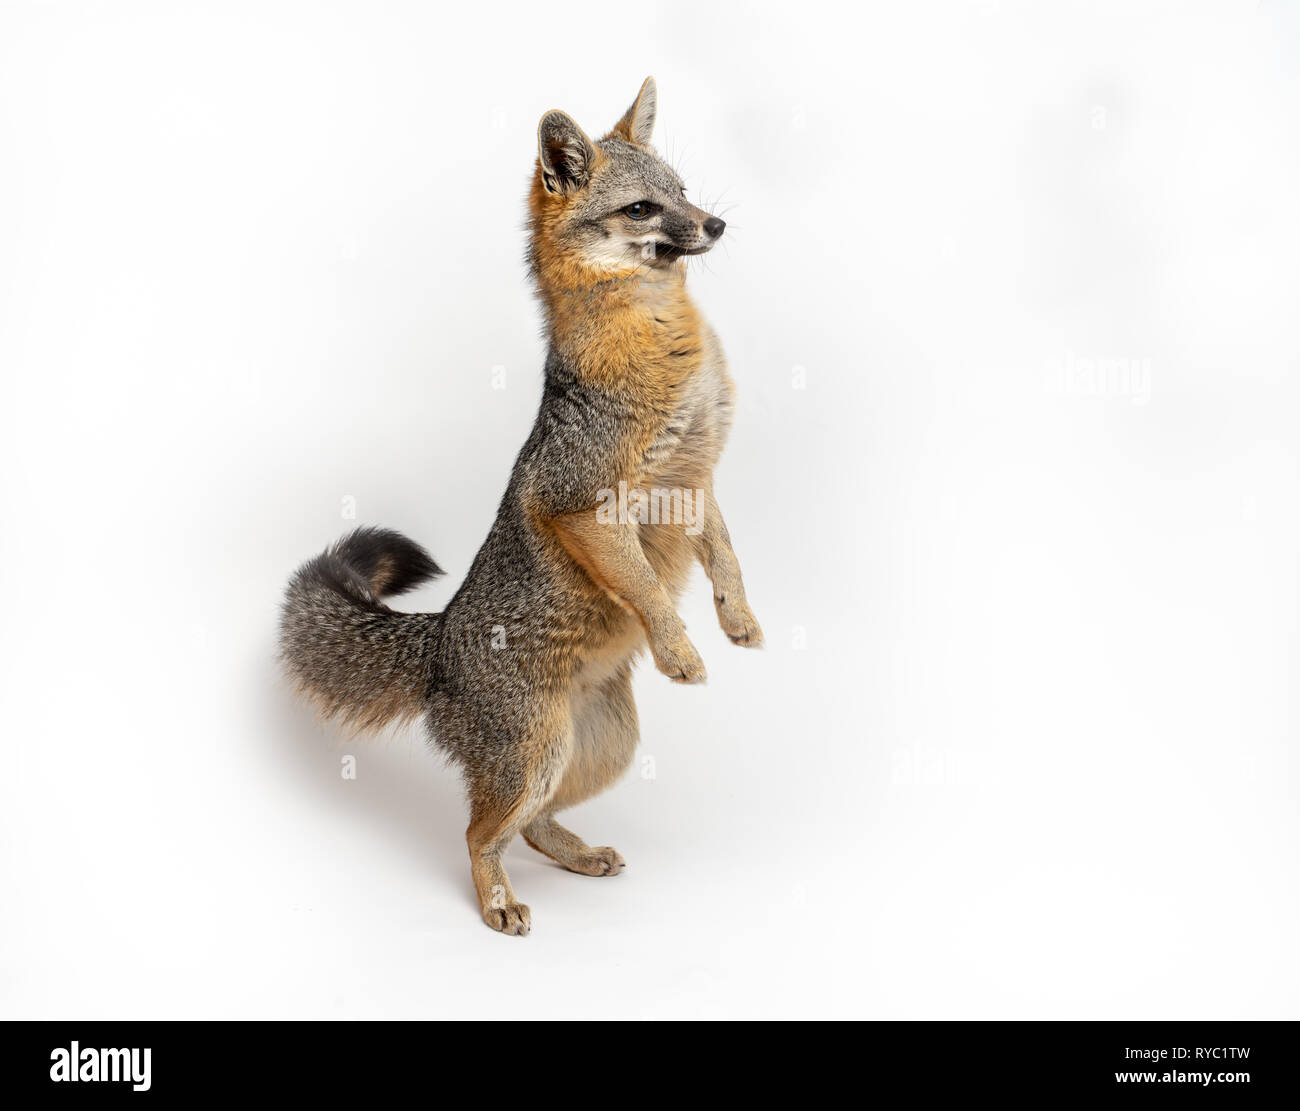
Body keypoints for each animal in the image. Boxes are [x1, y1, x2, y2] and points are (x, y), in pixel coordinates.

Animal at [280, 77, 762, 935]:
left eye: (681, 191)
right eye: (643, 208)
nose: (716, 223)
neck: (663, 344)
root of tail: (438, 640)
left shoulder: (694, 479)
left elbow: (726, 554)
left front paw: (737, 619)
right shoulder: (584, 503)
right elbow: (646, 587)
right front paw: (677, 647)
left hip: (596, 751)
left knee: (530, 826)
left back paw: (578, 854)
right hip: (538, 756)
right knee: (479, 832)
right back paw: (498, 902)